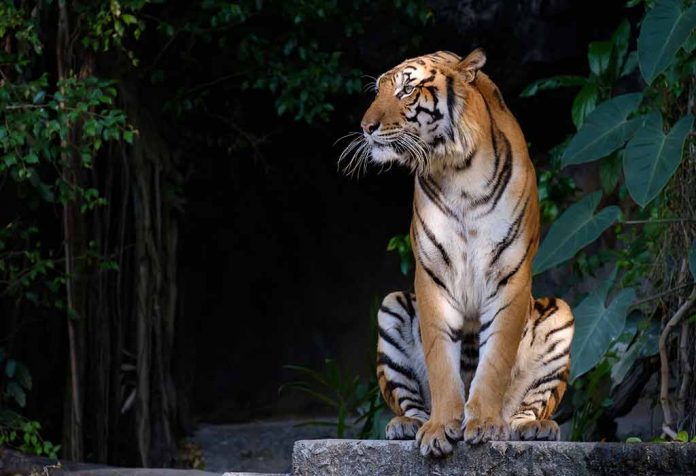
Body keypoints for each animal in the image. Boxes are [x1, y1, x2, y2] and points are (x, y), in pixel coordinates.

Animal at [339, 49, 574, 457]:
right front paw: (438, 429)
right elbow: (440, 361)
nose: (366, 127)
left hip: (559, 313)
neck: (458, 171)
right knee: (409, 401)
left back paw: (532, 428)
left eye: (407, 89)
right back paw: (406, 425)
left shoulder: (510, 275)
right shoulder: (432, 276)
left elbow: (495, 358)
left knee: (529, 407)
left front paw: (484, 424)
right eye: (378, 90)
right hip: (392, 306)